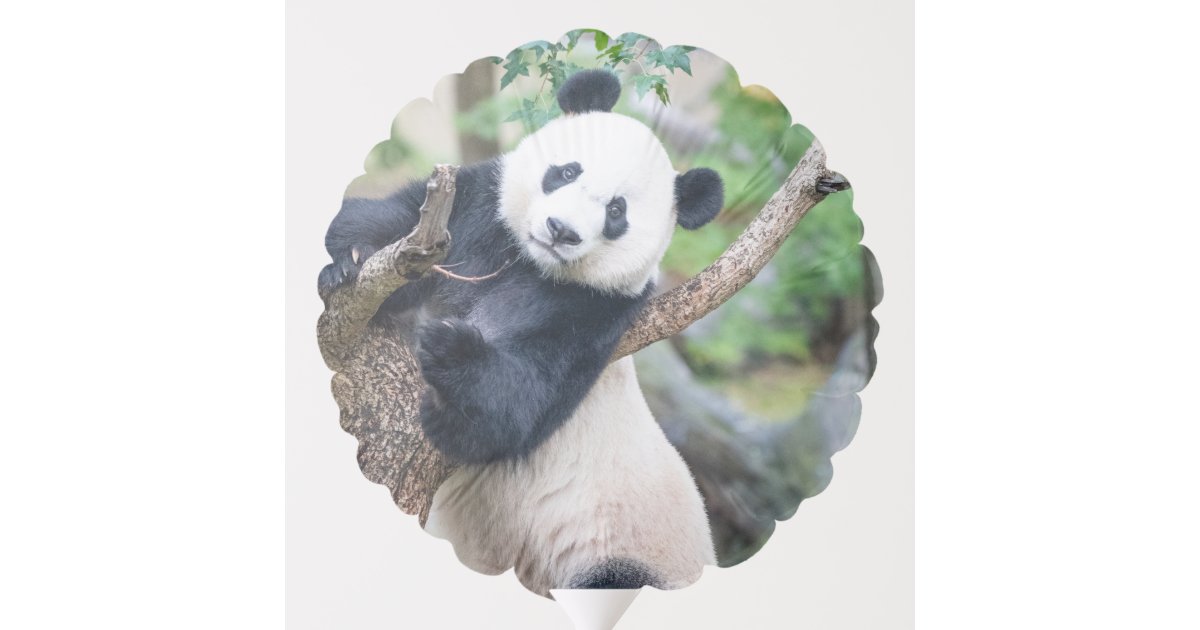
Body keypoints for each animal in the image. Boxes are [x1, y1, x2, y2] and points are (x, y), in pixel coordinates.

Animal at [320, 69, 726, 596]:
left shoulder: (594, 313)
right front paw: (350, 258)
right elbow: (406, 221)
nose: (560, 229)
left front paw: (450, 353)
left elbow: (513, 414)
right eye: (567, 172)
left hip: (623, 558)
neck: (530, 261)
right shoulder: (478, 217)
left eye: (617, 211)